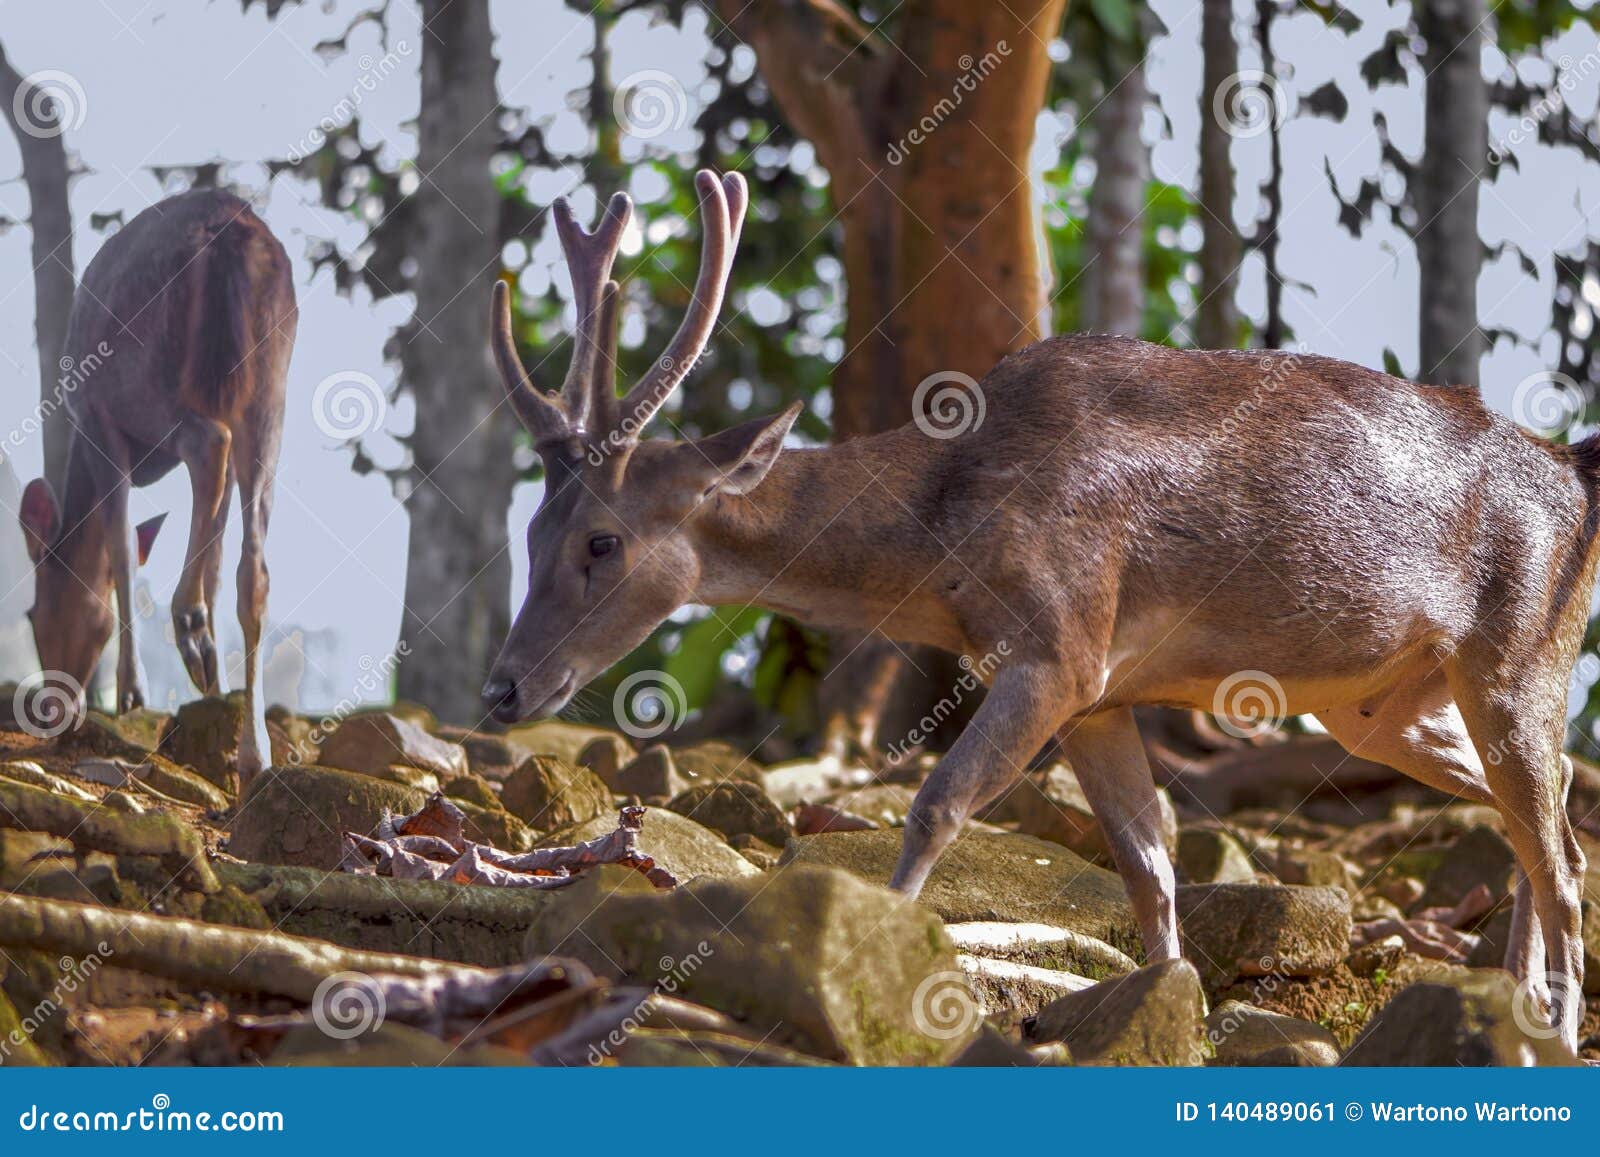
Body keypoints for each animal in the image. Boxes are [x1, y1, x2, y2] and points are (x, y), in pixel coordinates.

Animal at [16, 189, 297, 787]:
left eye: (32, 614)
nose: (51, 706)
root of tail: (230, 231)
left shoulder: (98, 422)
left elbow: (122, 549)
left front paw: (131, 689)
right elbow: (212, 548)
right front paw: (212, 678)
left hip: (143, 376)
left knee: (208, 442)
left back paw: (188, 625)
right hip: (270, 384)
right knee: (254, 563)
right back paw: (252, 751)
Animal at [483, 168, 1596, 1053]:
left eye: (600, 542)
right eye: (528, 531)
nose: (502, 688)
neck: (945, 535)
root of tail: (1576, 476)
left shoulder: (1060, 644)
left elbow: (936, 801)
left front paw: (877, 962)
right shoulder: (1100, 688)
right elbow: (1148, 866)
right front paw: (1171, 1009)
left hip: (1524, 651)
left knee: (1559, 845)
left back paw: (1554, 1017)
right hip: (1378, 705)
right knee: (1530, 819)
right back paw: (1511, 994)